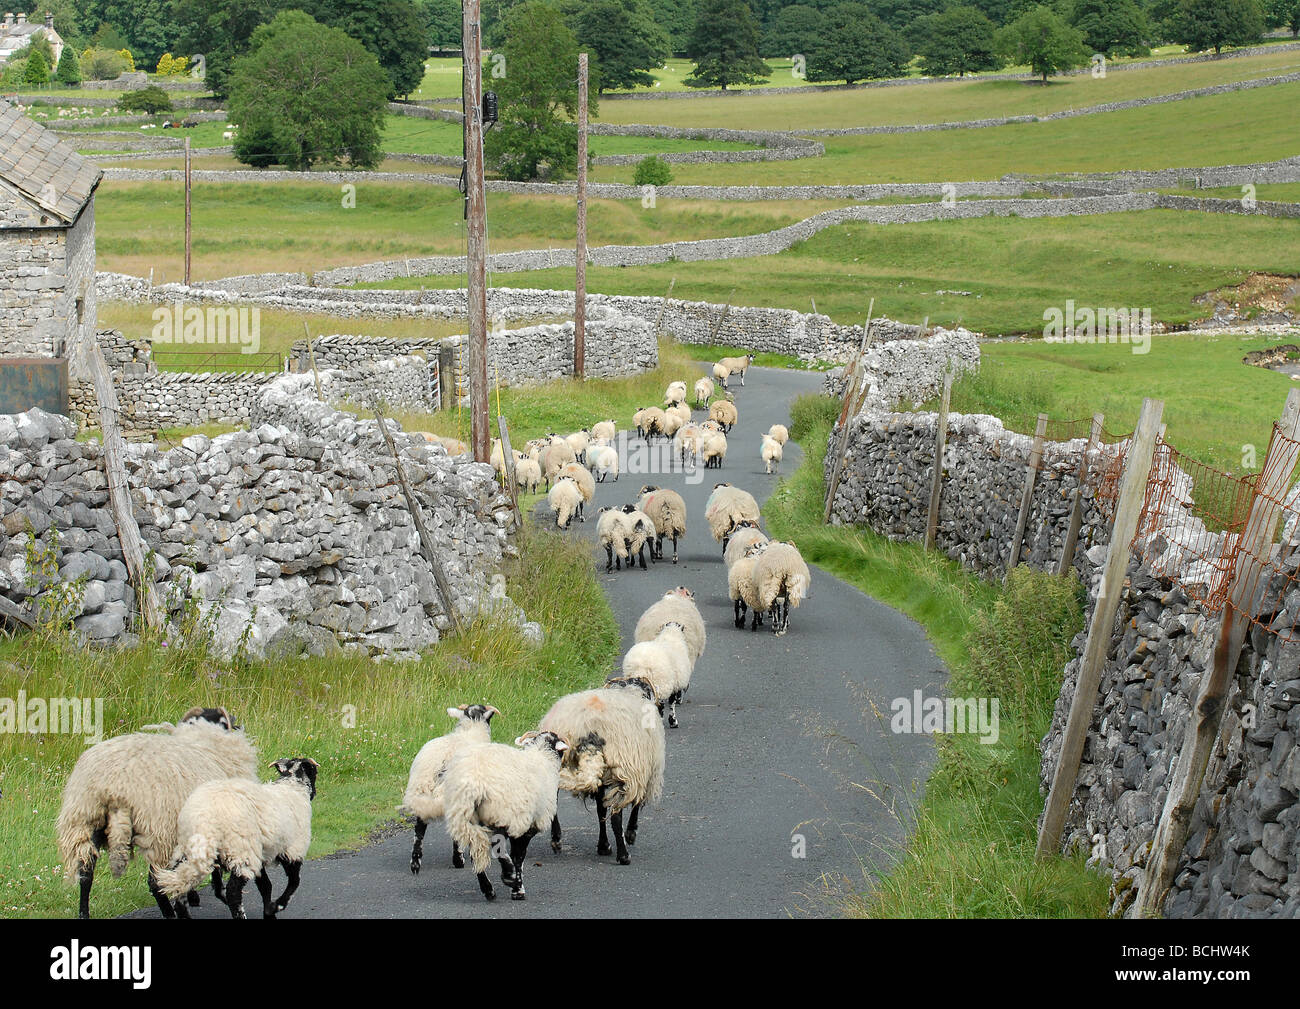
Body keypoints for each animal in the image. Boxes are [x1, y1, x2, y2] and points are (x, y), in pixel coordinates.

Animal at [57, 707, 259, 920]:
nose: (237, 724)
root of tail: (113, 786)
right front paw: (214, 894)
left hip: (85, 822)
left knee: (85, 873)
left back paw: (84, 913)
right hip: (160, 832)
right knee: (154, 882)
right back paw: (172, 914)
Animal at [155, 758, 318, 919]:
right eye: (314, 772)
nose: (314, 793)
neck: (293, 787)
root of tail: (205, 820)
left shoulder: (261, 856)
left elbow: (266, 885)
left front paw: (268, 913)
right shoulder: (293, 851)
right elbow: (293, 883)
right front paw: (276, 907)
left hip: (187, 849)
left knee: (181, 890)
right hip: (241, 851)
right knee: (232, 892)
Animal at [402, 704, 498, 874]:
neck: (470, 730)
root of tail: (440, 767)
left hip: (420, 793)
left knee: (419, 830)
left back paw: (415, 864)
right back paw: (458, 860)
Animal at [442, 731, 569, 901]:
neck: (542, 756)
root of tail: (472, 784)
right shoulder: (524, 825)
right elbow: (518, 857)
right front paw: (518, 889)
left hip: (466, 817)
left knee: (476, 852)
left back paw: (488, 889)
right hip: (500, 813)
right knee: (497, 847)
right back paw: (508, 875)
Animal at [540, 678, 665, 865]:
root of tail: (589, 729)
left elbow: (600, 810)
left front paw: (603, 845)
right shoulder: (644, 771)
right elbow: (636, 804)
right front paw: (631, 834)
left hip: (557, 757)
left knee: (555, 801)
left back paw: (557, 840)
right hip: (625, 768)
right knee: (616, 814)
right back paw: (623, 855)